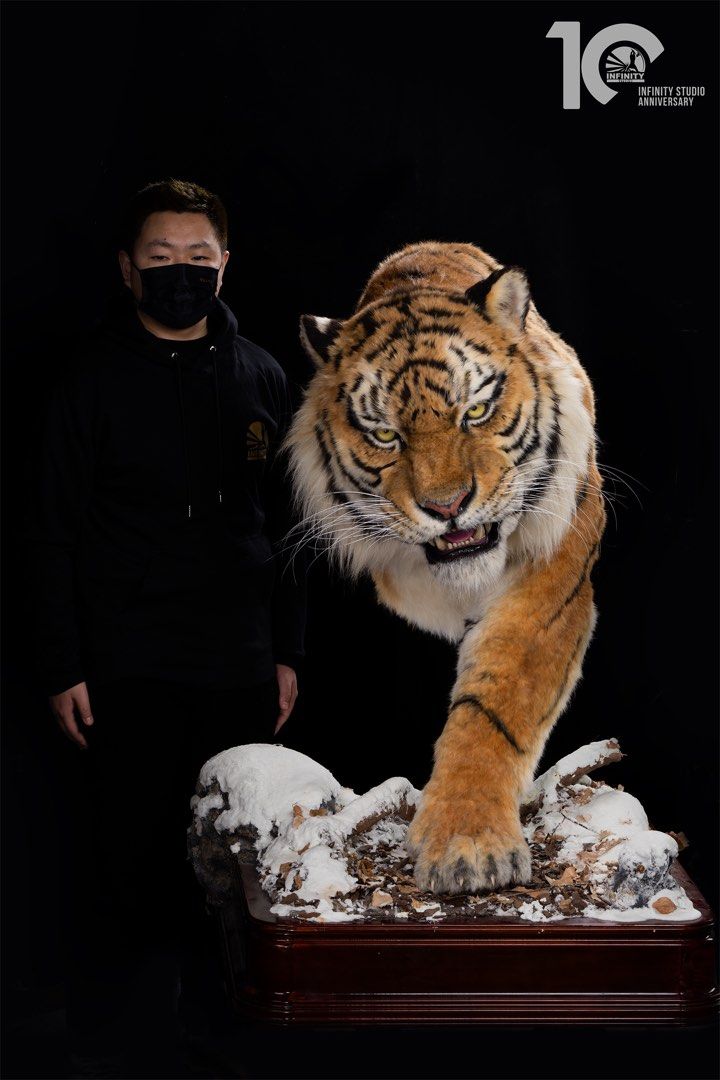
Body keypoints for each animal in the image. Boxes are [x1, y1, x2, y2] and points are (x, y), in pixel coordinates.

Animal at [285, 241, 606, 895]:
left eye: (476, 411)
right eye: (386, 436)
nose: (447, 506)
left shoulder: (554, 572)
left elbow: (493, 707)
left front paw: (469, 846)